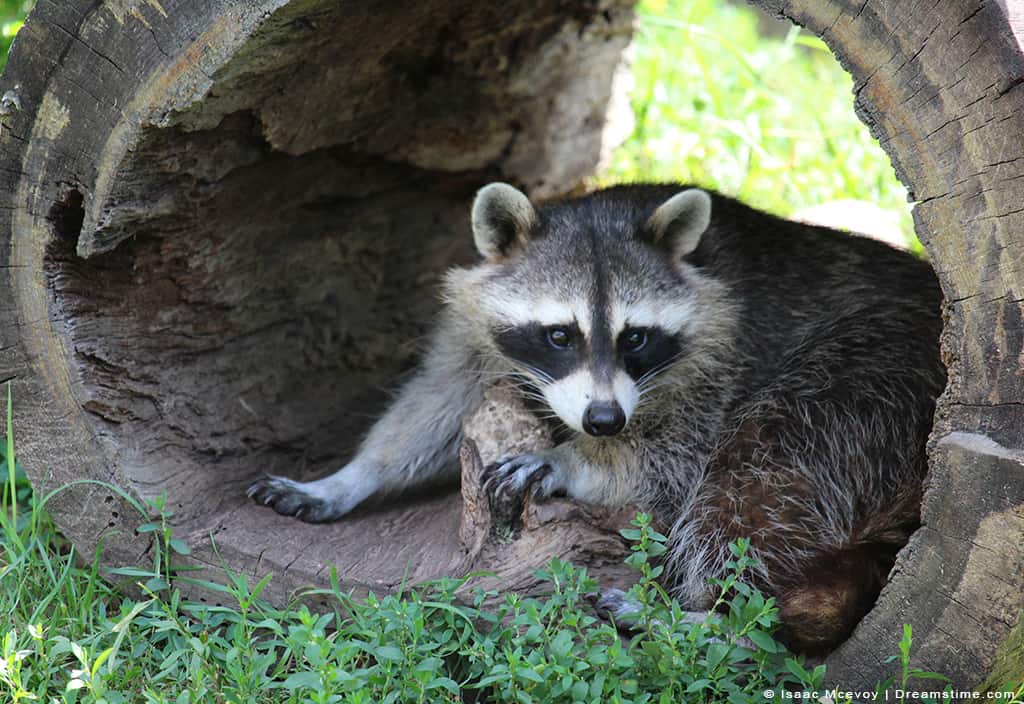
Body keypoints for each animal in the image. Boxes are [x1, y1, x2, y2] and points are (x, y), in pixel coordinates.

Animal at [248, 183, 945, 653]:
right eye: (560, 335)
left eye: (636, 338)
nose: (604, 421)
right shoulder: (477, 332)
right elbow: (436, 406)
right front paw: (349, 477)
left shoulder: (733, 353)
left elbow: (679, 466)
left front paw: (574, 461)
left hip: (868, 379)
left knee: (758, 478)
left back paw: (723, 621)